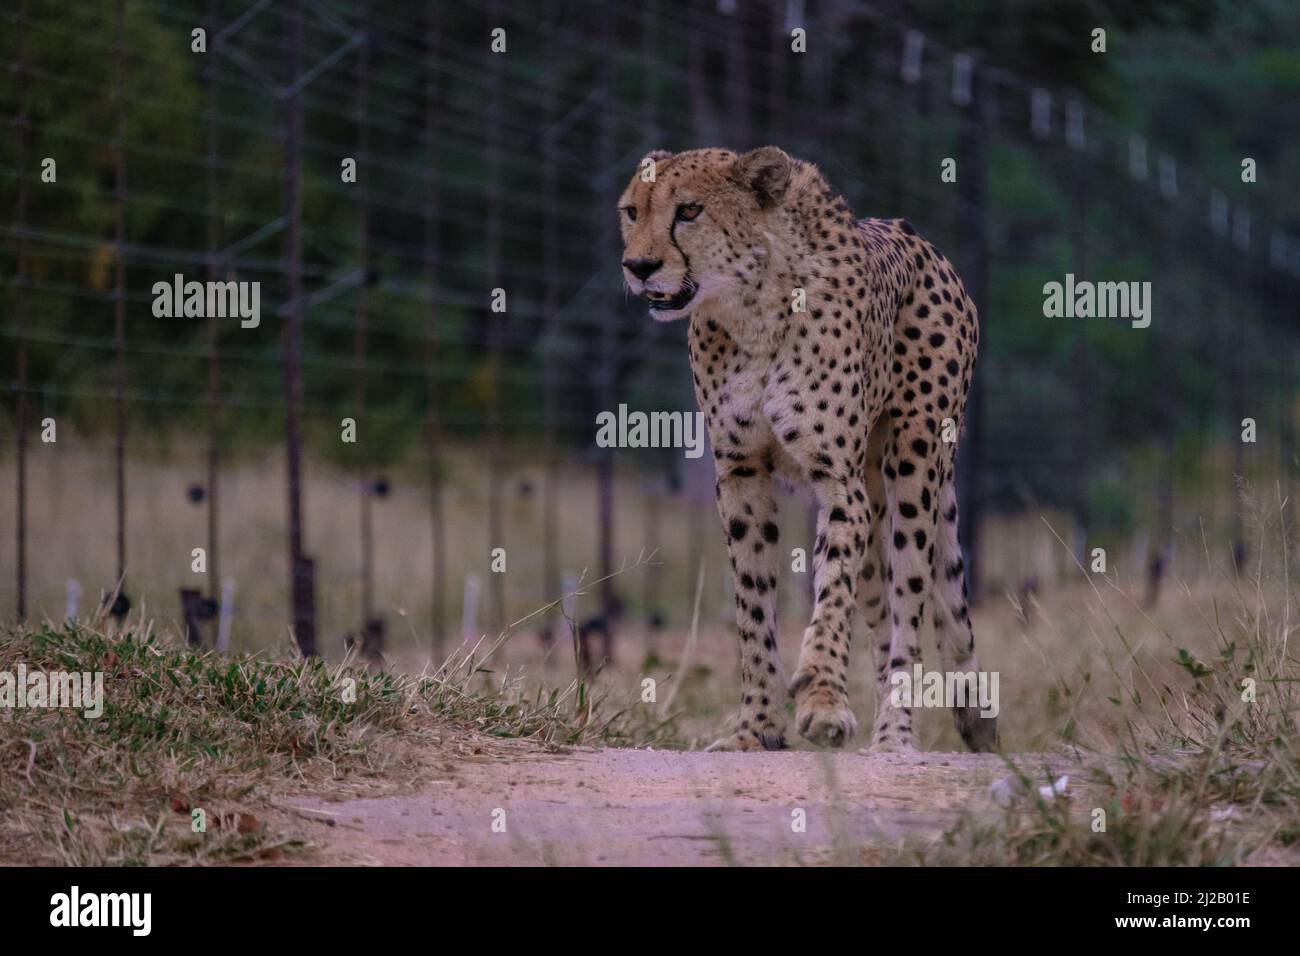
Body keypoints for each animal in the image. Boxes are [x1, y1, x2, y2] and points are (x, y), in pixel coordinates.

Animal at [618, 146, 998, 753]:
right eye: (632, 211)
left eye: (690, 210)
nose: (639, 266)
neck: (752, 308)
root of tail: (919, 239)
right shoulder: (741, 475)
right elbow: (754, 607)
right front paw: (756, 730)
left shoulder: (837, 481)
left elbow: (831, 592)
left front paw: (820, 700)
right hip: (876, 492)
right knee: (880, 604)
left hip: (915, 468)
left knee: (909, 603)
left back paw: (894, 738)